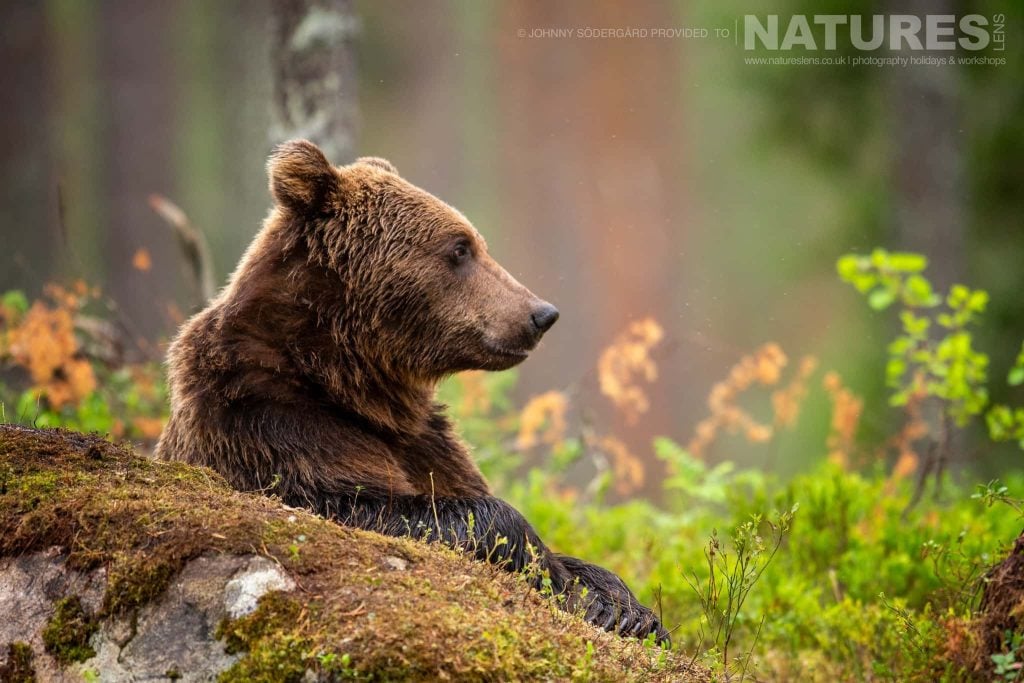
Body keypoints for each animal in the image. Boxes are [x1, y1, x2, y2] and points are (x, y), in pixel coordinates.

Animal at [155, 139, 668, 643]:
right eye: (459, 248)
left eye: (475, 243)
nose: (541, 314)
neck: (345, 381)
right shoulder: (267, 425)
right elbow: (374, 506)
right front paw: (564, 582)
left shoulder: (425, 439)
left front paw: (626, 608)